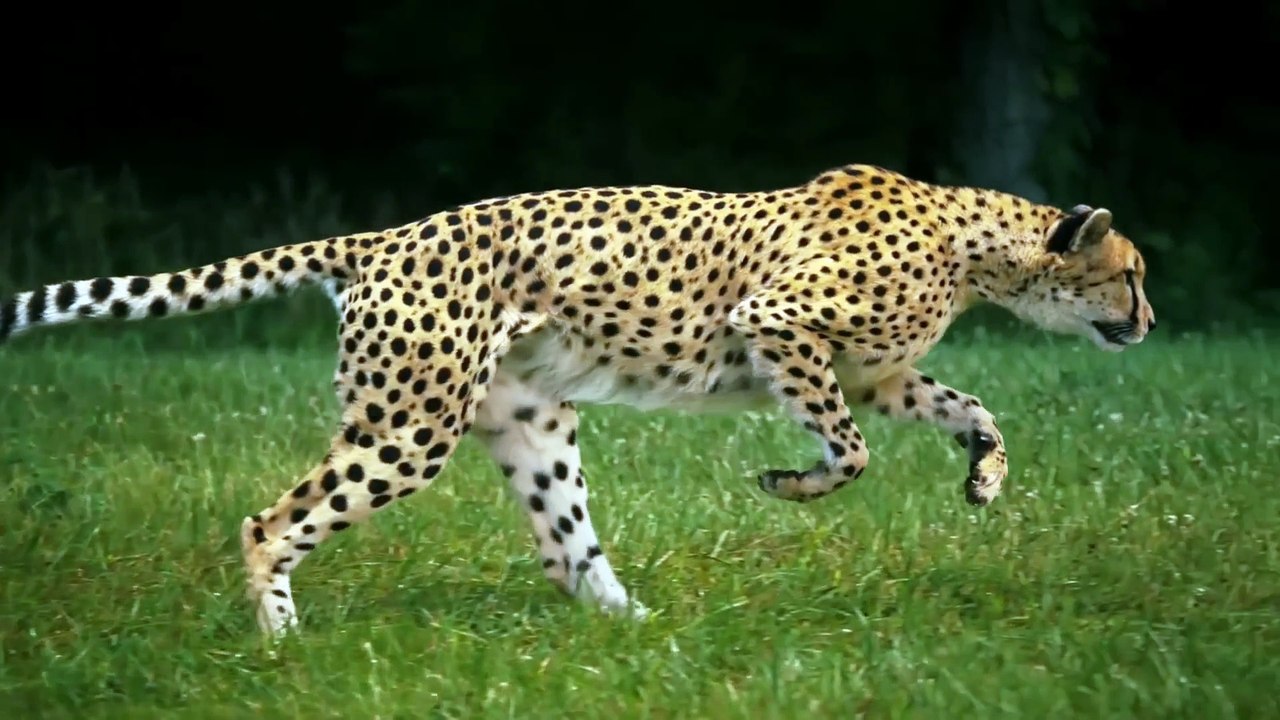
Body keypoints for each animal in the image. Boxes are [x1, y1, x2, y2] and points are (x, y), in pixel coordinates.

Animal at [0, 163, 1156, 636]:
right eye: (1133, 274)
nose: (1149, 322)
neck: (976, 244)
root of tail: (385, 234)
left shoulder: (877, 372)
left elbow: (966, 406)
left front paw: (984, 475)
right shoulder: (777, 324)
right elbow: (850, 451)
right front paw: (790, 483)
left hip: (530, 426)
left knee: (566, 551)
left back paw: (639, 629)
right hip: (408, 427)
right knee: (267, 519)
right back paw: (282, 640)